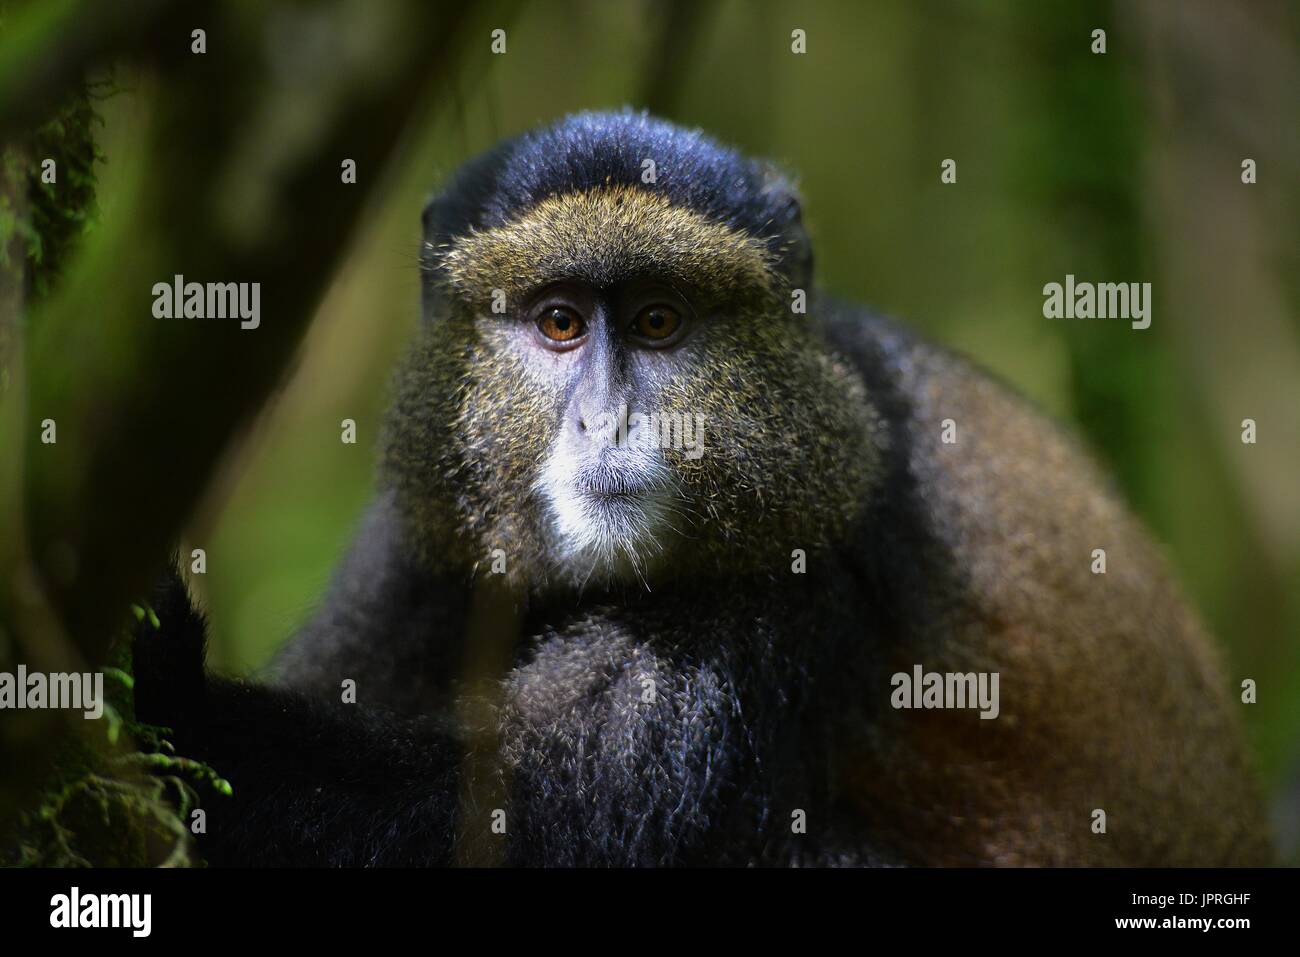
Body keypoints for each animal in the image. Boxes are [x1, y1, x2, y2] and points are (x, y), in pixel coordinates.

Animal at [132, 109, 1271, 867]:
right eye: (557, 321)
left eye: (659, 322)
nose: (606, 420)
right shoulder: (421, 540)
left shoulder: (797, 564)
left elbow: (512, 812)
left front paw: (161, 676)